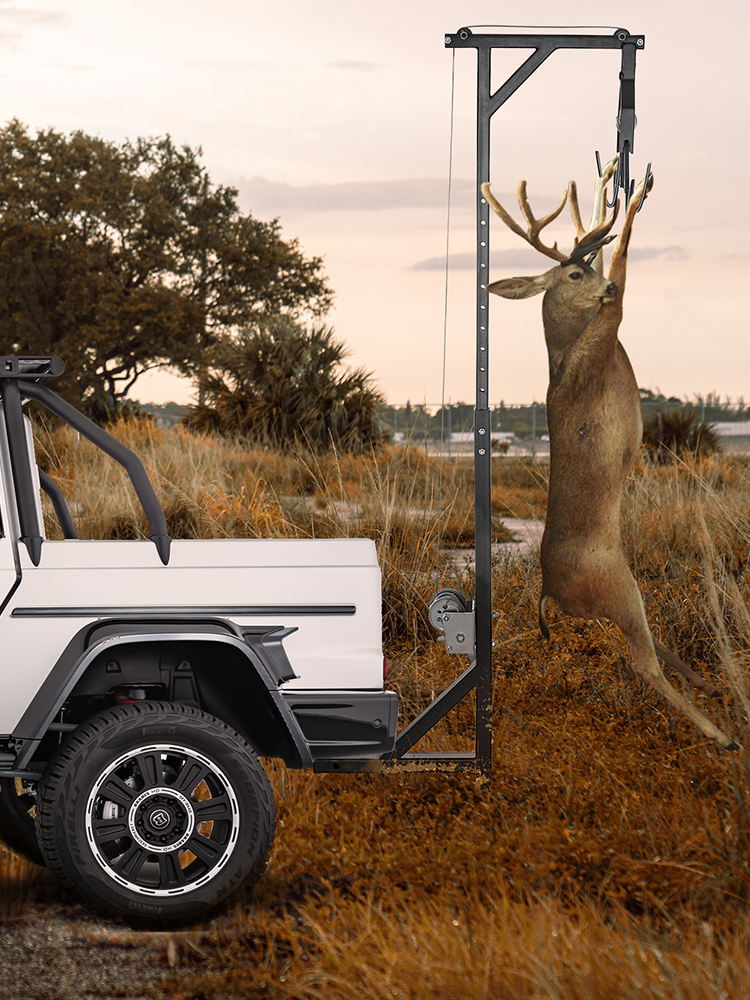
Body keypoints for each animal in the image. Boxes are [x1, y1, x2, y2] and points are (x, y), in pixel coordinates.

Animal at [481, 158, 739, 751]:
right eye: (573, 275)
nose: (602, 286)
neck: (570, 349)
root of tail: (549, 593)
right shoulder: (611, 321)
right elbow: (622, 256)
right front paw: (636, 194)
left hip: (623, 592)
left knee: (650, 647)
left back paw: (712, 687)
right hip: (618, 586)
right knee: (642, 663)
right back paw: (722, 735)